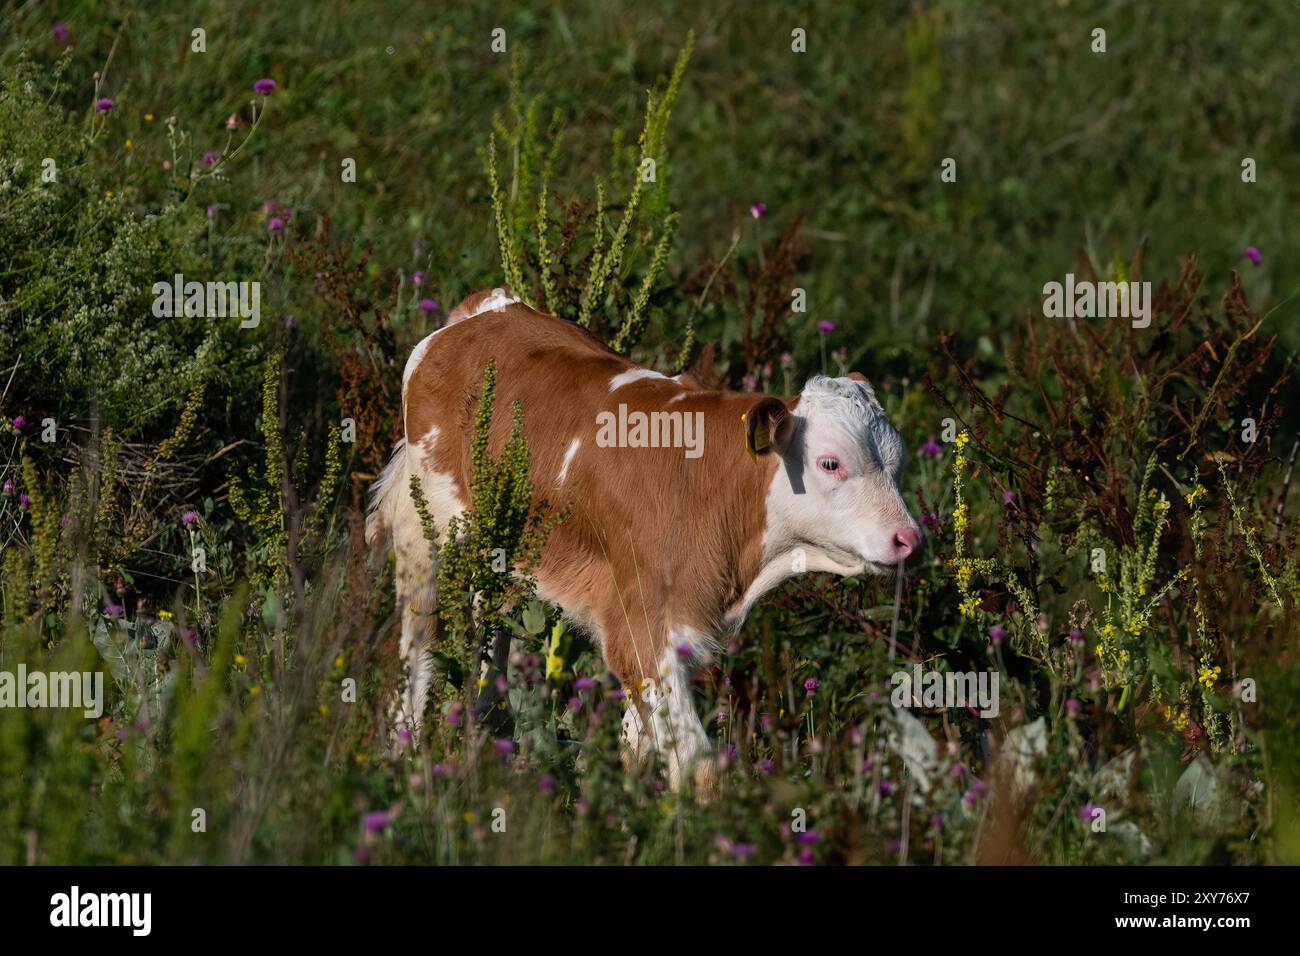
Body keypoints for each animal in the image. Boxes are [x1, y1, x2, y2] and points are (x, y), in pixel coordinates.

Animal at [367, 287, 923, 790]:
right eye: (830, 463)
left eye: (898, 464)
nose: (909, 540)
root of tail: (488, 307)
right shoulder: (645, 623)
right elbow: (697, 766)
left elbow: (640, 745)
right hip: (426, 534)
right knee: (418, 640)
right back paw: (403, 750)